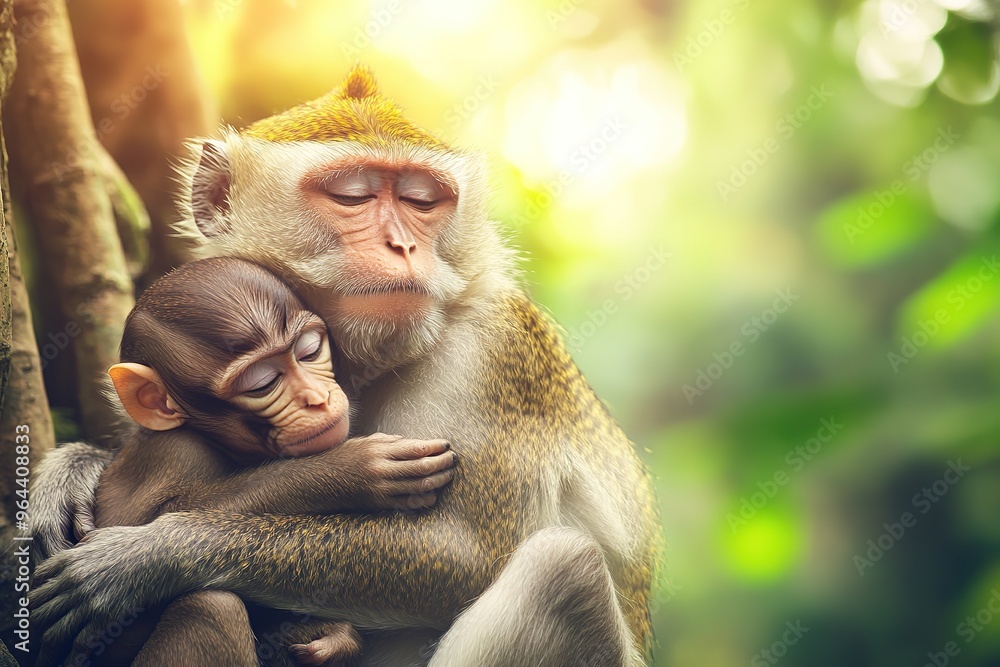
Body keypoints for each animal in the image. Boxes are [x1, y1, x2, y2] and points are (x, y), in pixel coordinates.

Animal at [49, 256, 458, 667]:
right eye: (262, 383)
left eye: (309, 351)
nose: (316, 398)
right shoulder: (176, 451)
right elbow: (140, 530)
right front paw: (349, 469)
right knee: (210, 606)